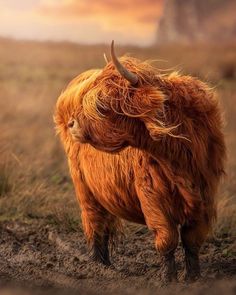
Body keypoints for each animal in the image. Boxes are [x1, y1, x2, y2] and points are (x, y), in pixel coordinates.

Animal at [54, 41, 226, 282]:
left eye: (101, 106)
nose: (72, 124)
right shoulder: (152, 196)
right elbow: (167, 237)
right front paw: (168, 278)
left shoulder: (206, 194)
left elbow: (192, 241)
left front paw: (193, 278)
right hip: (84, 187)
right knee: (95, 222)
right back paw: (98, 266)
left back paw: (106, 265)